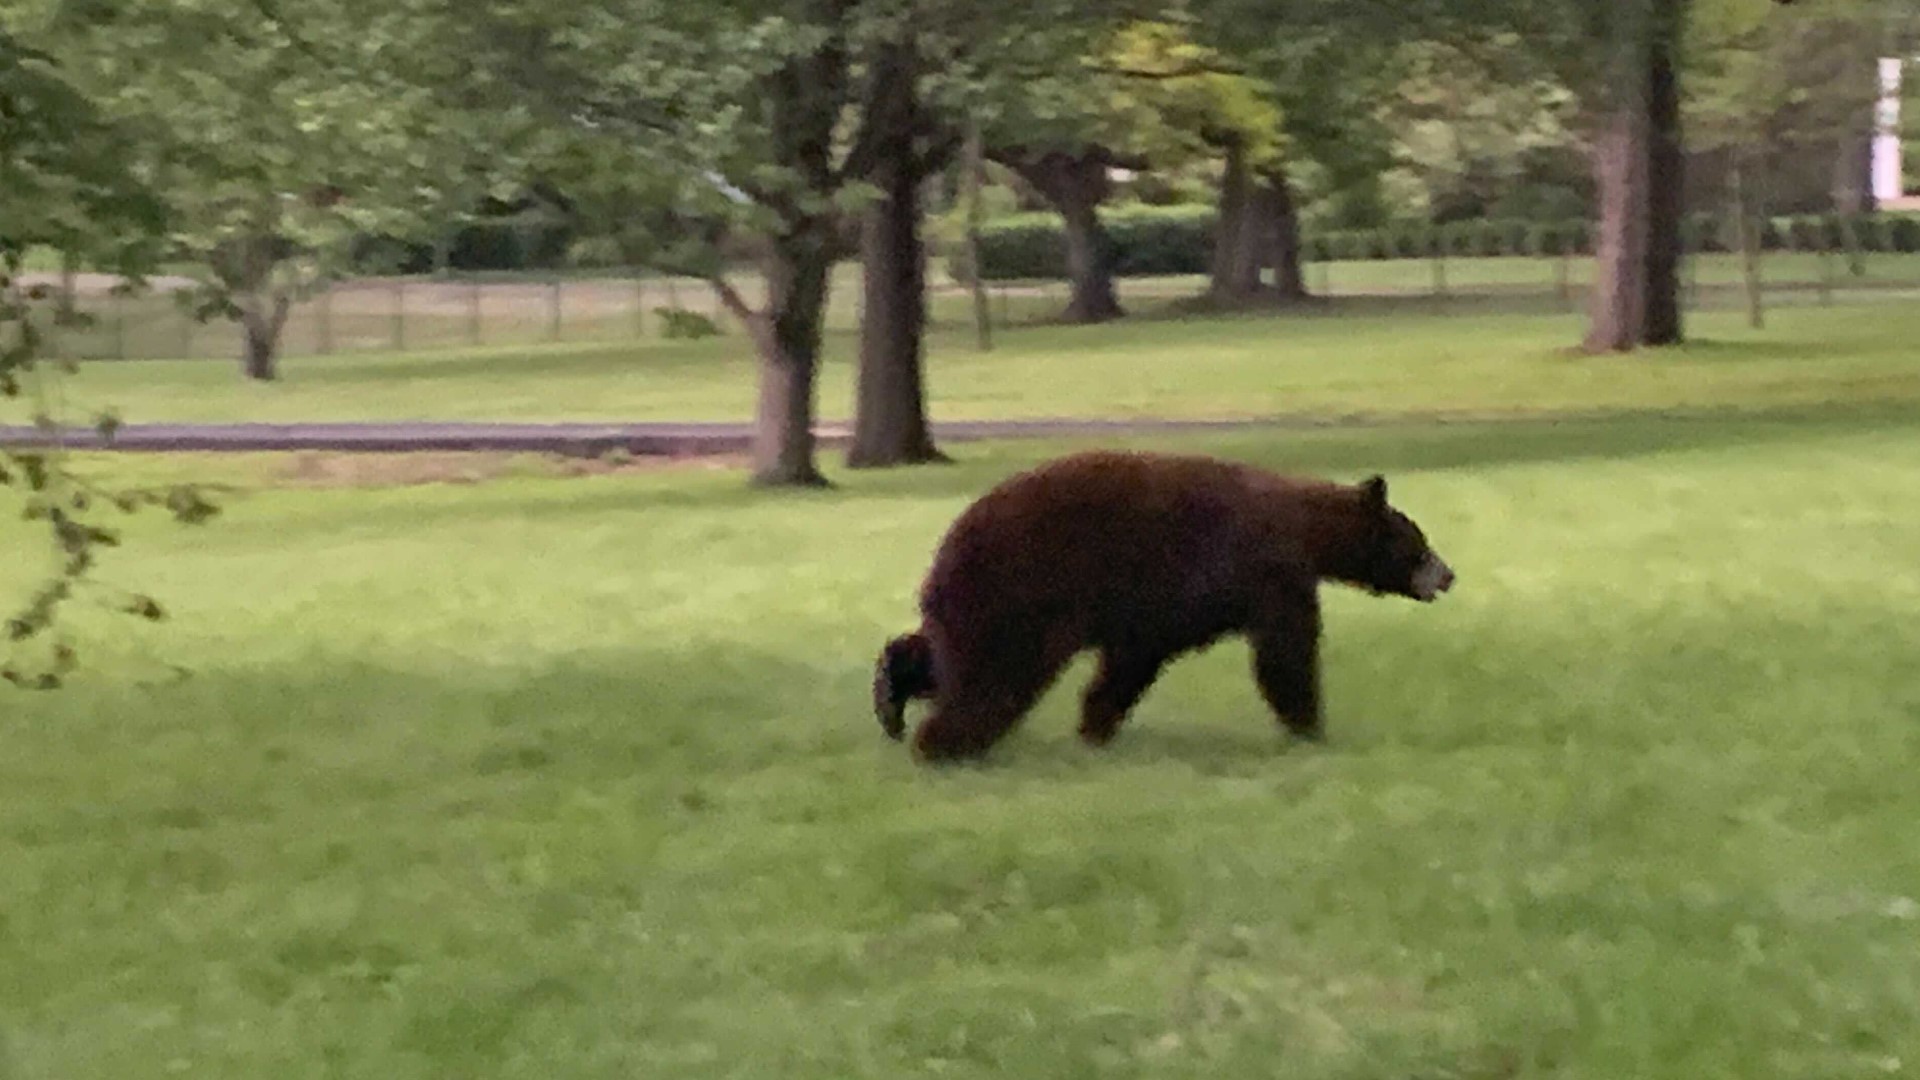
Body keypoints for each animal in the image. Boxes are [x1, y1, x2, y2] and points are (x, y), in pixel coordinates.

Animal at [873, 449, 1454, 763]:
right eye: (1419, 541)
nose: (1448, 575)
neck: (1308, 531)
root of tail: (948, 543)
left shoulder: (1159, 609)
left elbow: (1131, 662)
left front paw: (1093, 730)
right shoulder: (1268, 574)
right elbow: (1285, 653)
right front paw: (1311, 729)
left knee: (949, 656)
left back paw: (892, 700)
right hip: (1020, 591)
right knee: (993, 673)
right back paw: (941, 744)